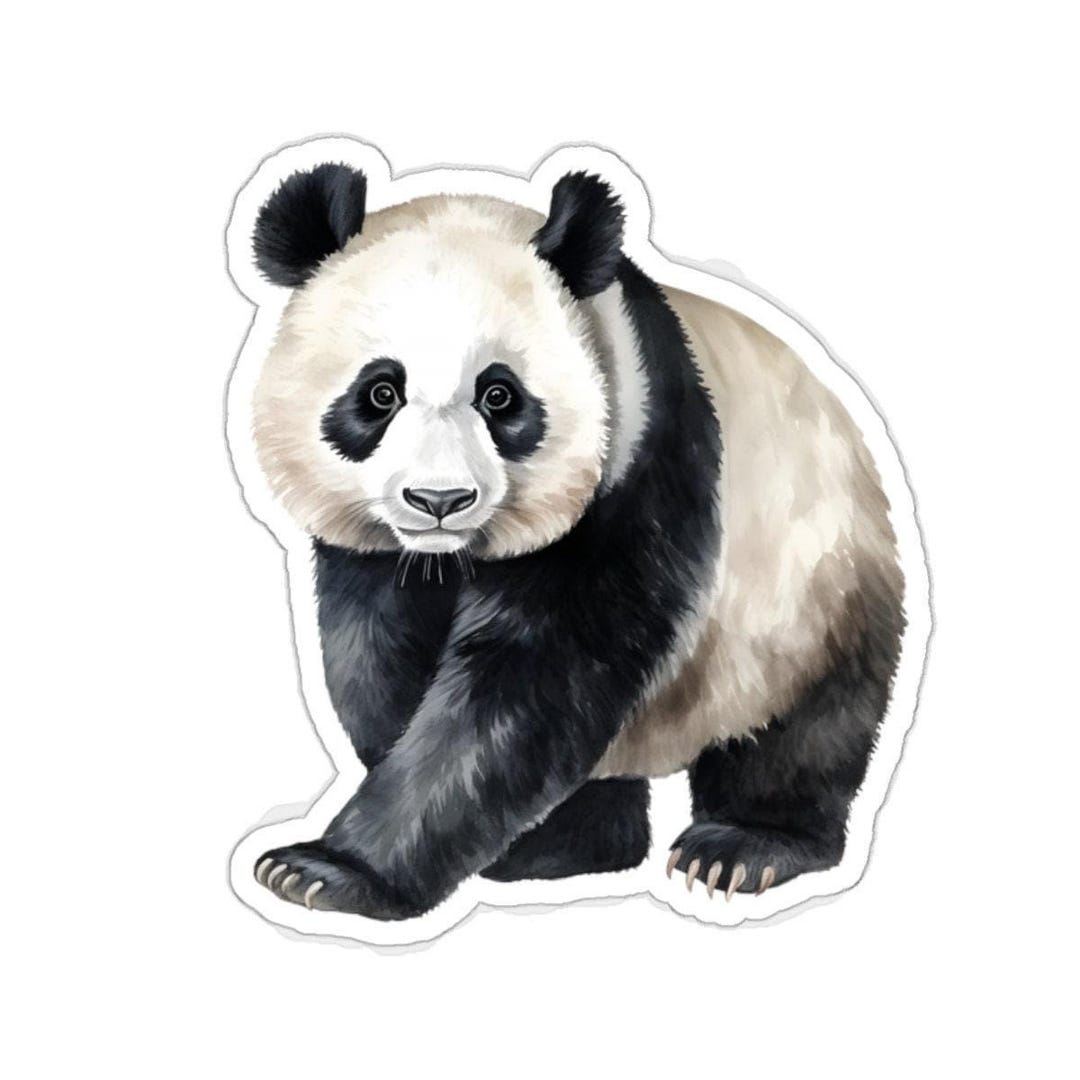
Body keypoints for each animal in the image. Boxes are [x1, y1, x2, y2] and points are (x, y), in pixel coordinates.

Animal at [246, 161, 905, 920]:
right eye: (381, 393)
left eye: (499, 396)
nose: (440, 502)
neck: (455, 558)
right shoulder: (375, 558)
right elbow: (373, 659)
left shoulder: (641, 469)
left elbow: (529, 688)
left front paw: (328, 871)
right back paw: (571, 846)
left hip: (807, 586)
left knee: (806, 730)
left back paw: (741, 847)